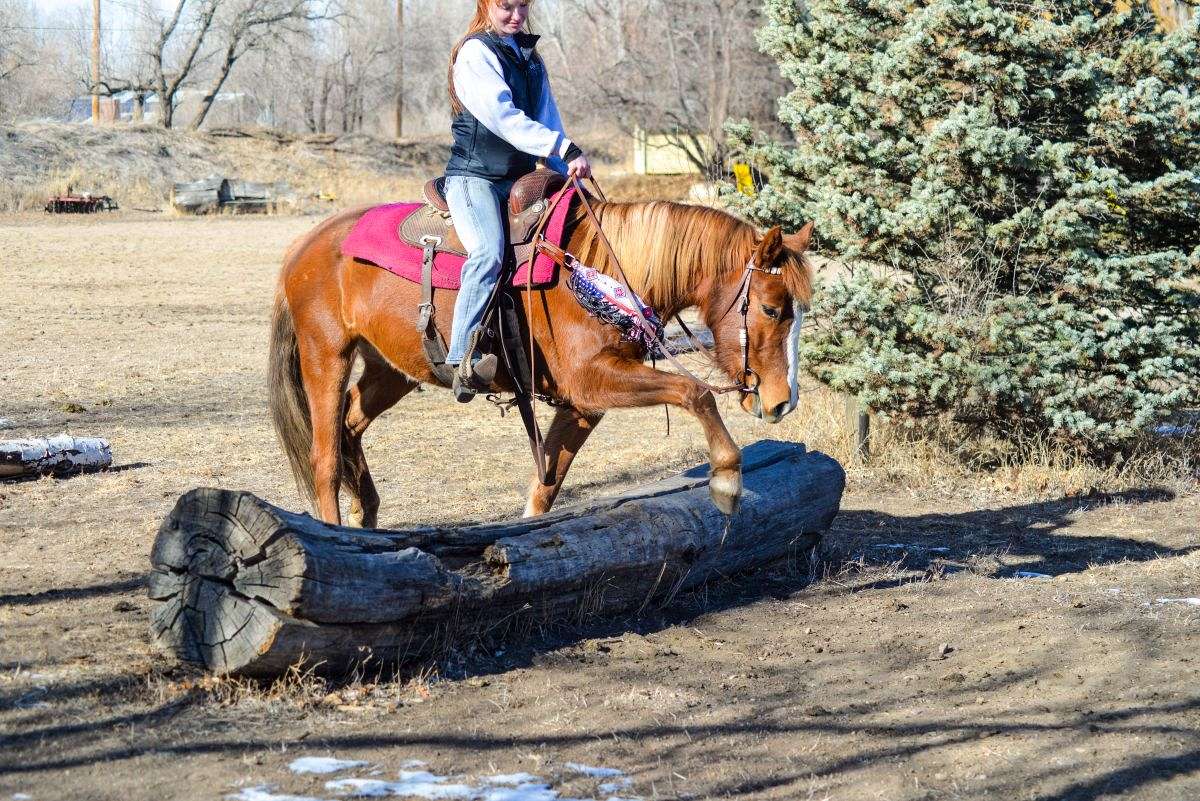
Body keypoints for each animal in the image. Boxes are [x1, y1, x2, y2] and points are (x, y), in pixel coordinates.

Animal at [268, 192, 814, 527]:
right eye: (772, 308)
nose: (782, 402)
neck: (599, 271)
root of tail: (303, 246)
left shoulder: (583, 404)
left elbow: (546, 486)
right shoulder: (591, 380)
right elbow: (694, 392)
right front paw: (726, 479)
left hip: (392, 370)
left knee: (350, 426)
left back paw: (367, 517)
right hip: (326, 354)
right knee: (323, 458)